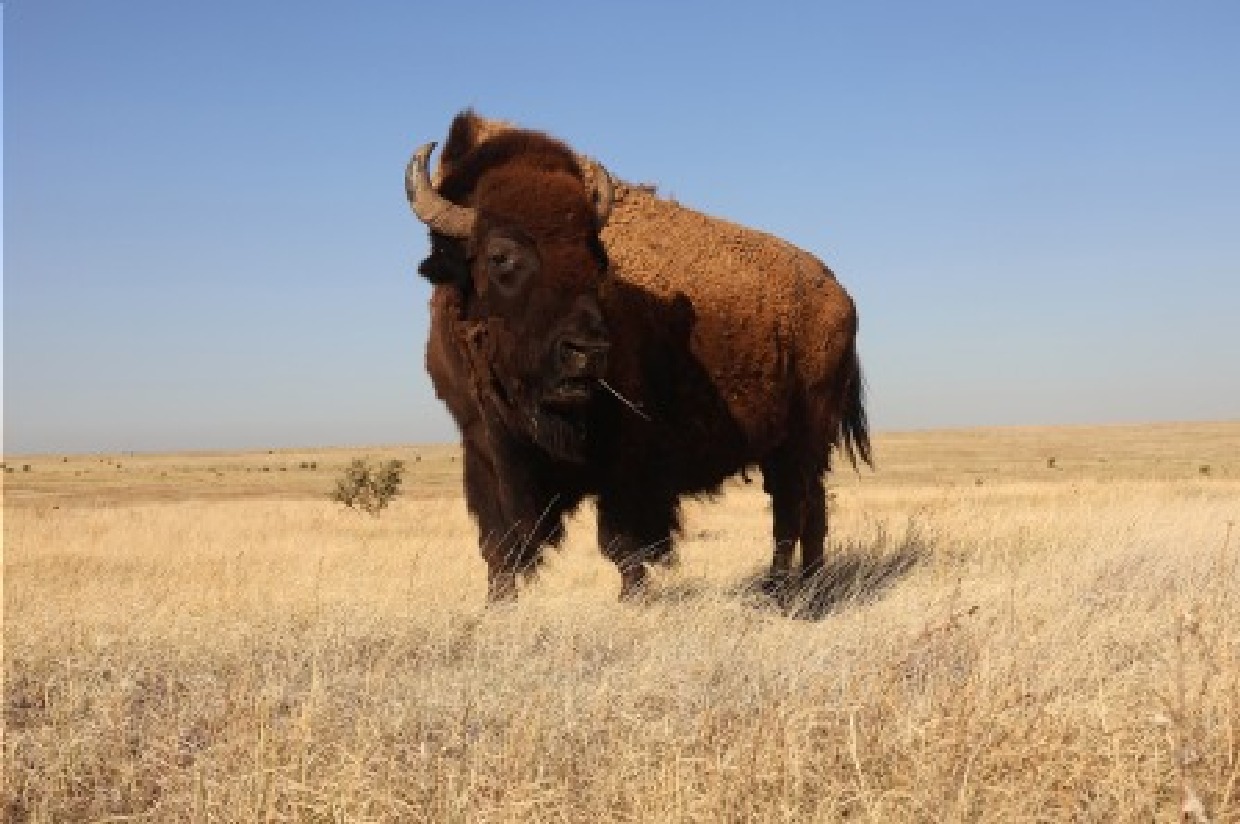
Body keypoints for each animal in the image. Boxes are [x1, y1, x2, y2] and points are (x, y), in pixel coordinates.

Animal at [407, 111, 870, 602]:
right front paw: (500, 606)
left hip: (804, 438)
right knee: (811, 511)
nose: (587, 352)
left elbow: (622, 544)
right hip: (789, 446)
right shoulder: (481, 447)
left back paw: (779, 590)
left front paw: (635, 601)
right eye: (500, 256)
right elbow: (500, 548)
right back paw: (810, 585)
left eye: (596, 255)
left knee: (790, 511)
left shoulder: (627, 458)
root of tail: (839, 293)